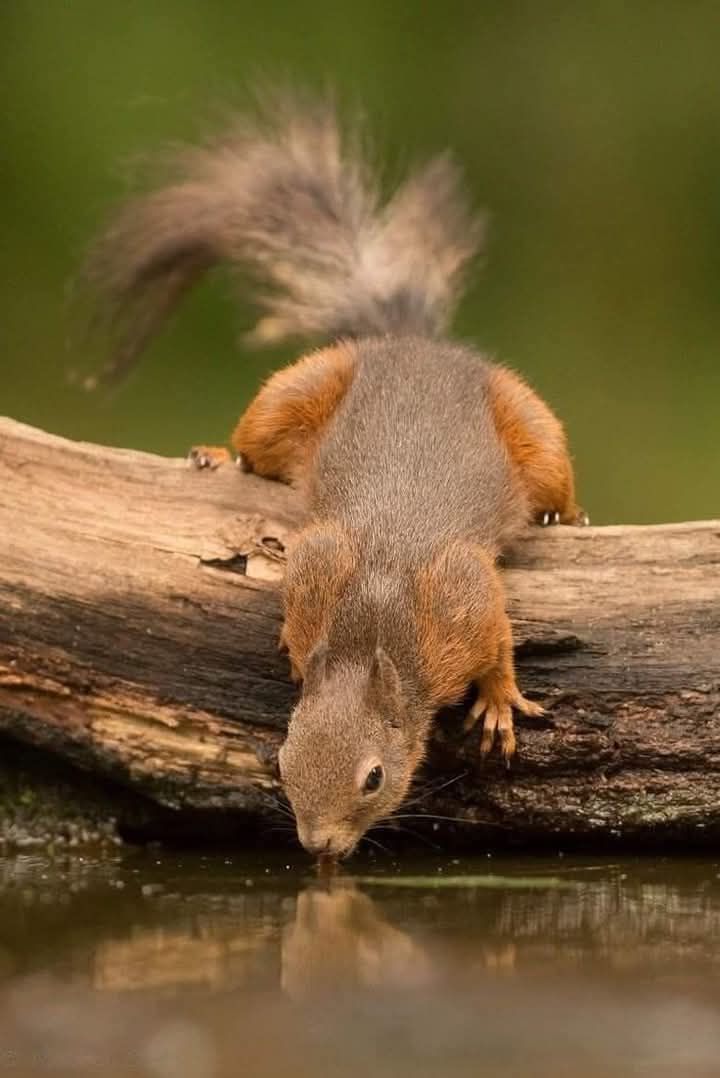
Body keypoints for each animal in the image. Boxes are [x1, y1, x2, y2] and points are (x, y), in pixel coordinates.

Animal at [85, 91, 586, 860]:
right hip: (293, 395)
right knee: (260, 442)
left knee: (554, 476)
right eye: (281, 760)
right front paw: (295, 657)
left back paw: (572, 513)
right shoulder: (319, 565)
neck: (369, 631)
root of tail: (415, 349)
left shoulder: (461, 596)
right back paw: (218, 455)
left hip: (535, 431)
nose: (318, 848)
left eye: (374, 778)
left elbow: (497, 635)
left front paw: (500, 700)